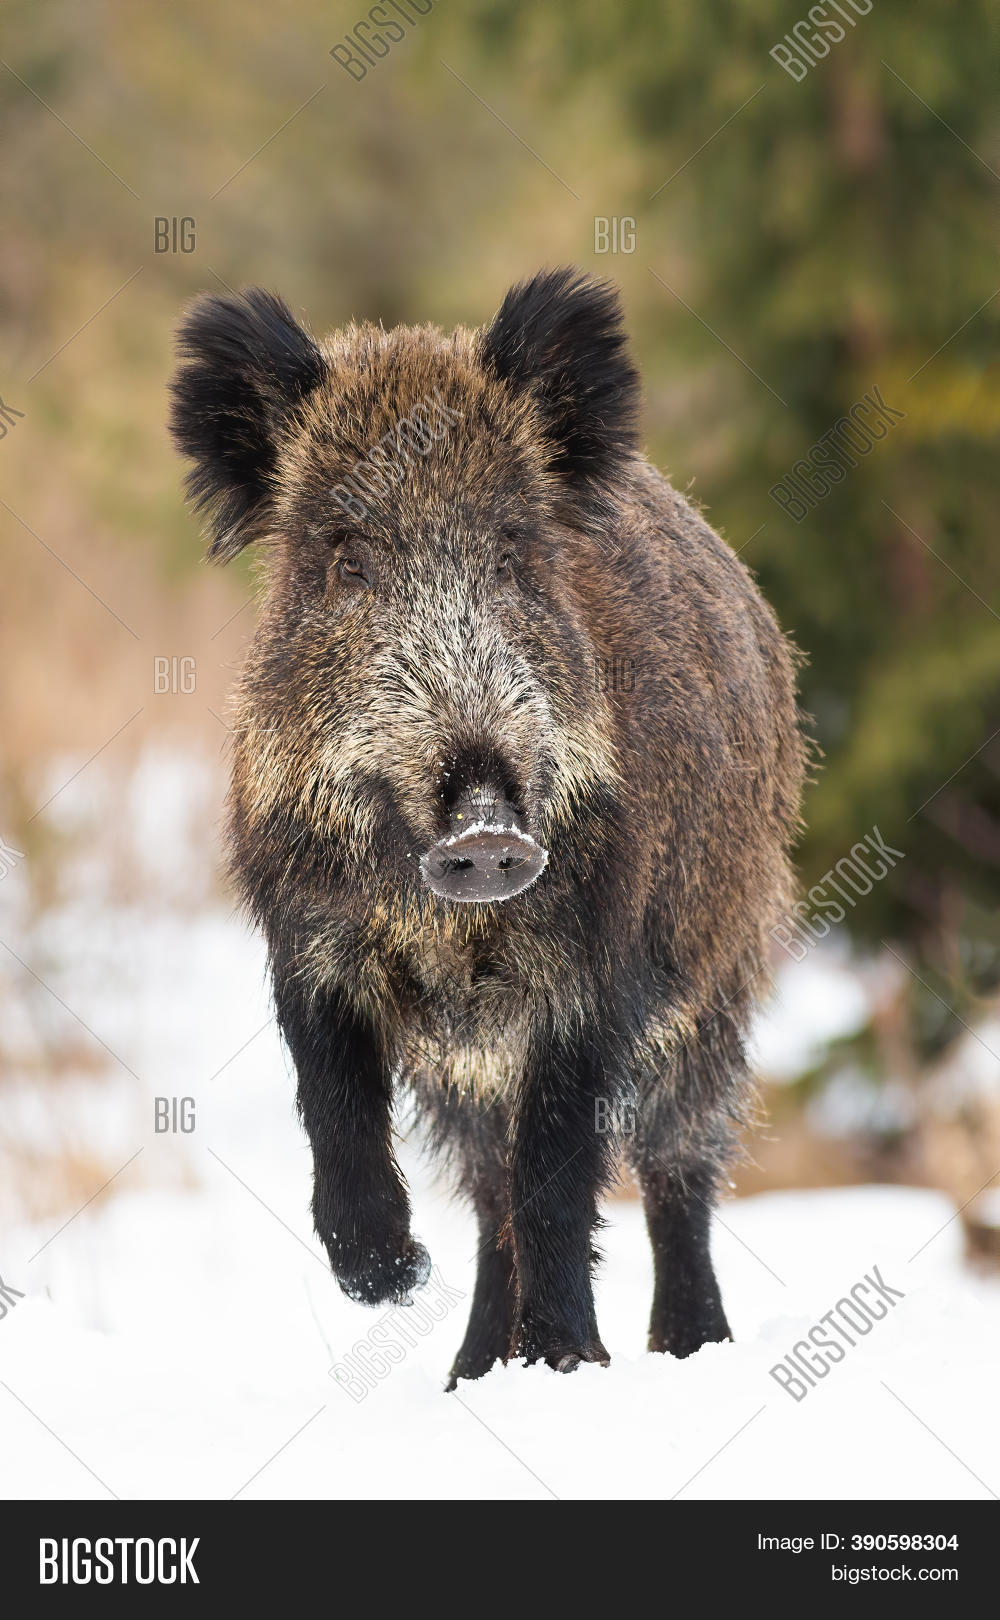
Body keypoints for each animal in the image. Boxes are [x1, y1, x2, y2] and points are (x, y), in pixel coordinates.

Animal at [169, 268, 806, 1385]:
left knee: (677, 1164)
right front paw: (390, 1279)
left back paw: (686, 1350)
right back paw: (468, 1371)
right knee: (487, 1189)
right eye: (345, 561)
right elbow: (339, 1115)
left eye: (512, 554)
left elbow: (559, 1181)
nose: (485, 832)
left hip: (724, 971)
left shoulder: (595, 970)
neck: (450, 928)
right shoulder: (306, 944)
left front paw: (568, 1367)